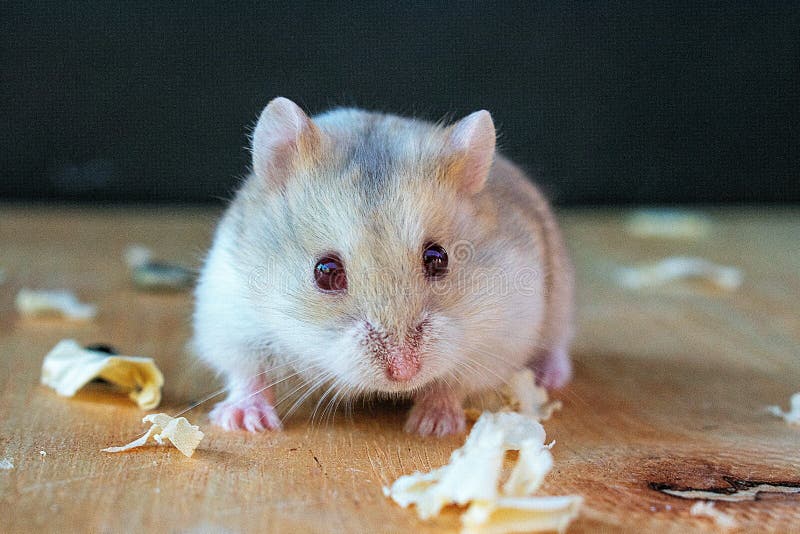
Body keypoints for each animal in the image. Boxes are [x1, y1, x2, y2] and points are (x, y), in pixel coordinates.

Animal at [192, 97, 574, 437]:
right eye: (325, 271)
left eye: (438, 258)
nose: (404, 373)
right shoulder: (233, 318)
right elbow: (248, 374)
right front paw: (246, 422)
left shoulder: (501, 337)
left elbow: (451, 384)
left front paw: (431, 426)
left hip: (558, 303)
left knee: (556, 344)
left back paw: (549, 378)